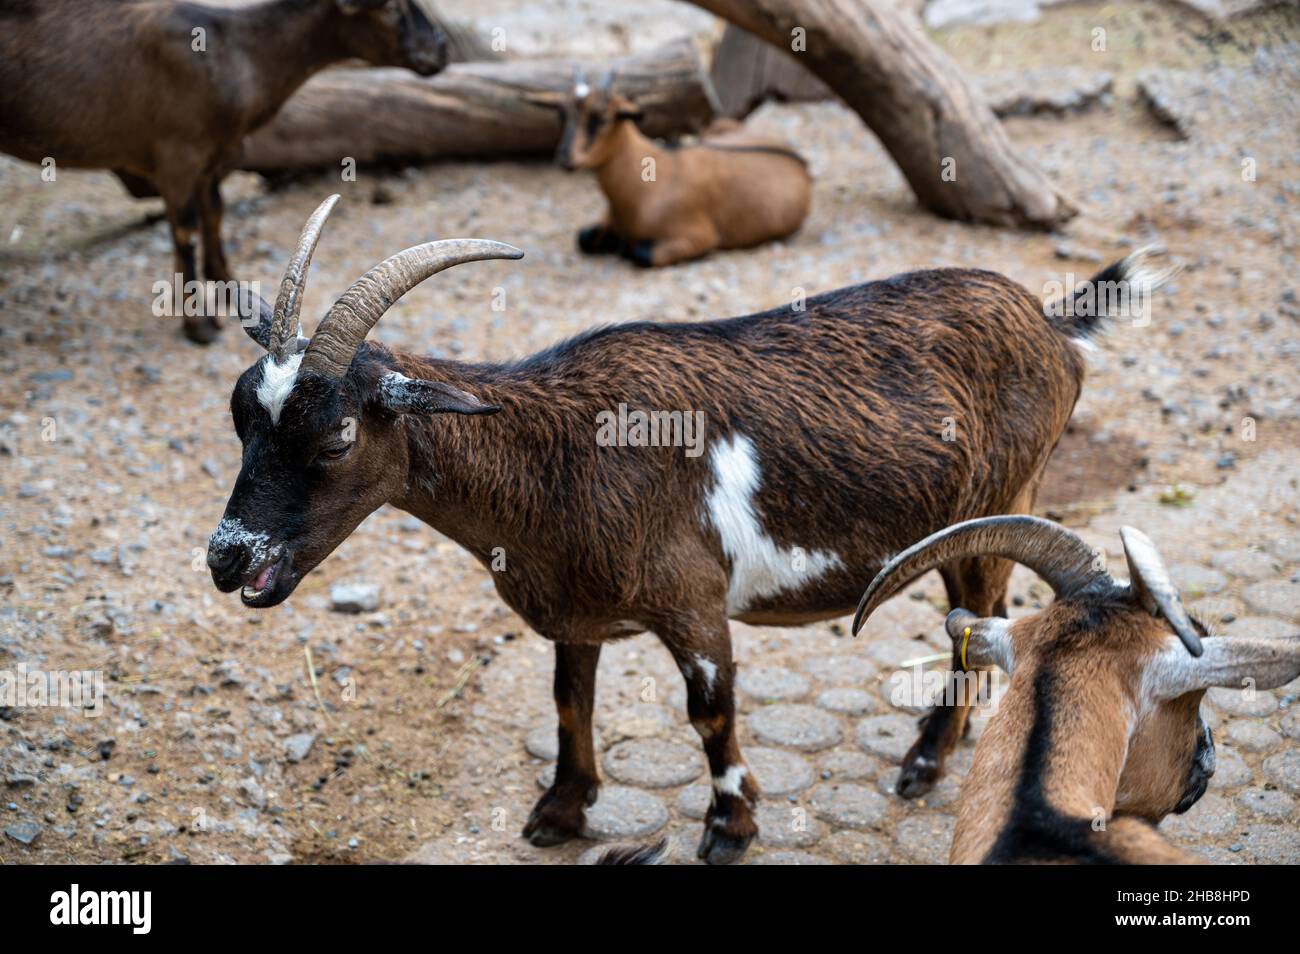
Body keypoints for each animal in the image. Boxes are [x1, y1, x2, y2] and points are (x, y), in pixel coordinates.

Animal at [0, 0, 447, 344]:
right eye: (390, 7)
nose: (441, 49)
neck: (237, 51)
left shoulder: (211, 159)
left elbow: (215, 212)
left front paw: (233, 289)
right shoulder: (177, 157)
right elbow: (186, 233)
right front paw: (199, 325)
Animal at [205, 196, 1170, 864]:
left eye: (336, 436)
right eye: (240, 417)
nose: (227, 558)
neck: (557, 455)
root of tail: (1053, 320)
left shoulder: (694, 603)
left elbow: (710, 711)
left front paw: (731, 827)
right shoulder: (576, 611)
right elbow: (569, 700)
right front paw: (560, 811)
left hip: (1003, 493)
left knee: (978, 619)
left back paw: (925, 765)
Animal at [528, 72, 811, 267]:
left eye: (602, 118)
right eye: (562, 115)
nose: (565, 157)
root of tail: (802, 162)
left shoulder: (699, 237)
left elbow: (639, 252)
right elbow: (584, 238)